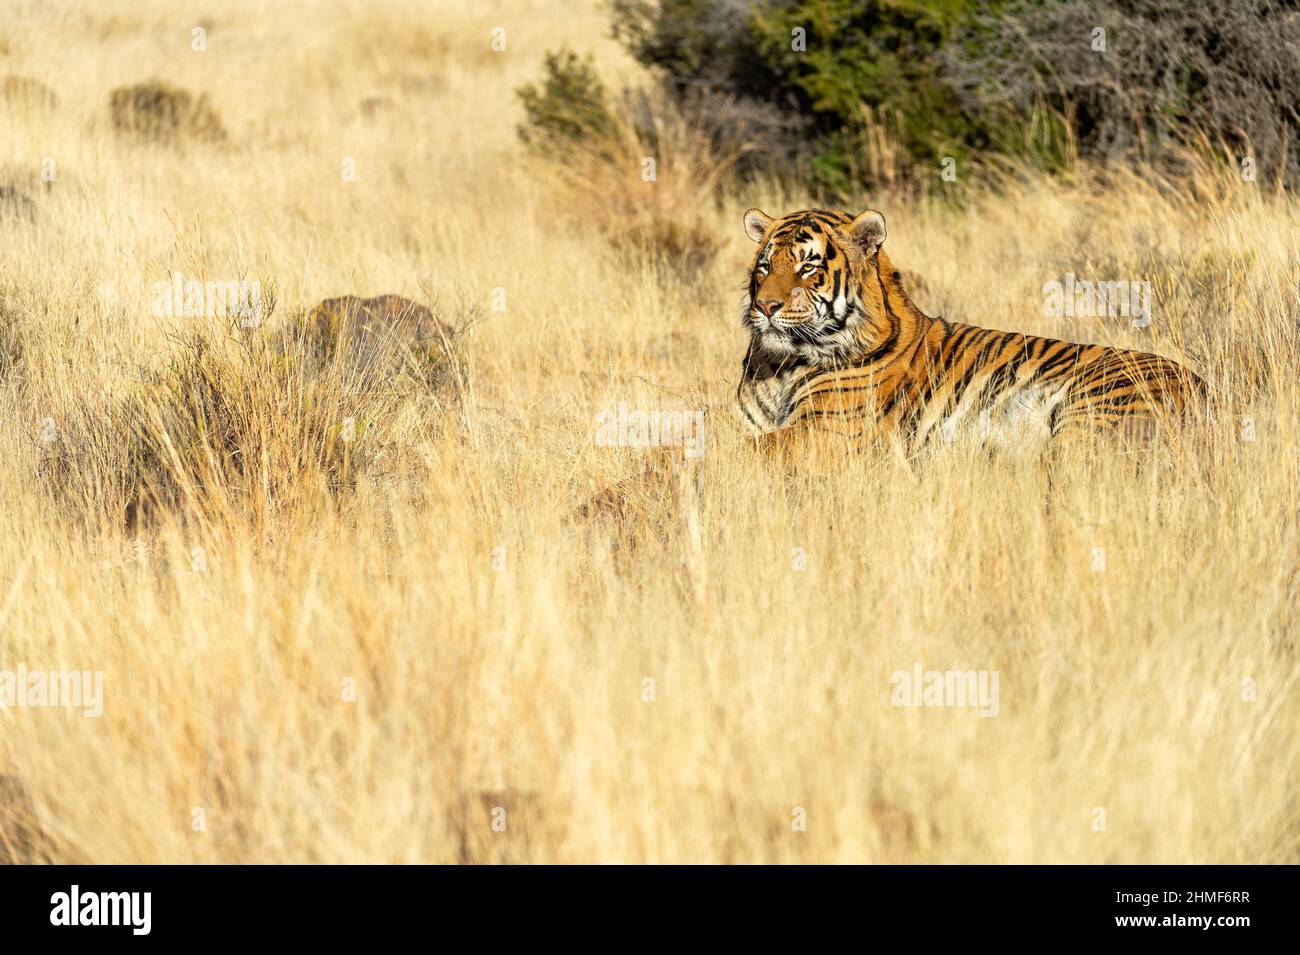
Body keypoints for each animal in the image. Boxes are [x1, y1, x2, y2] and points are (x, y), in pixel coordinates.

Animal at [736, 207, 1205, 460]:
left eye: (807, 267)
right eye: (765, 266)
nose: (766, 306)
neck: (782, 365)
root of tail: (1206, 390)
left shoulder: (826, 432)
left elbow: (743, 451)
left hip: (1085, 417)